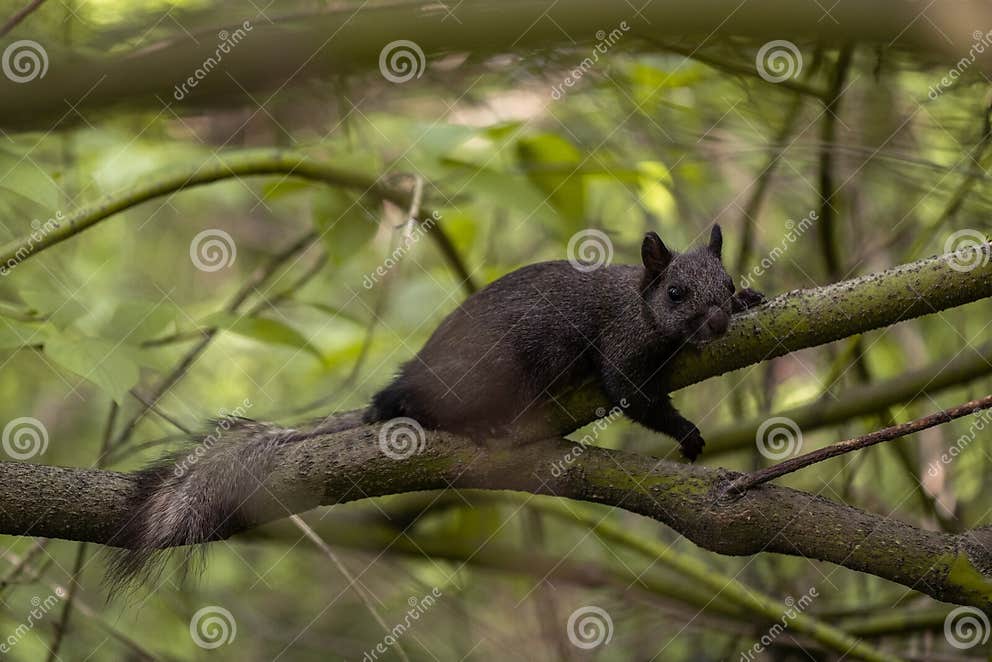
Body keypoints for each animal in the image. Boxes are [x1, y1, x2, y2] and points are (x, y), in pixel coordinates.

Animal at [105, 224, 764, 588]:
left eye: (727, 283)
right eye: (675, 293)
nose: (717, 320)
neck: (636, 299)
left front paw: (756, 300)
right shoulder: (621, 347)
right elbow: (632, 395)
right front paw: (686, 432)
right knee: (415, 407)